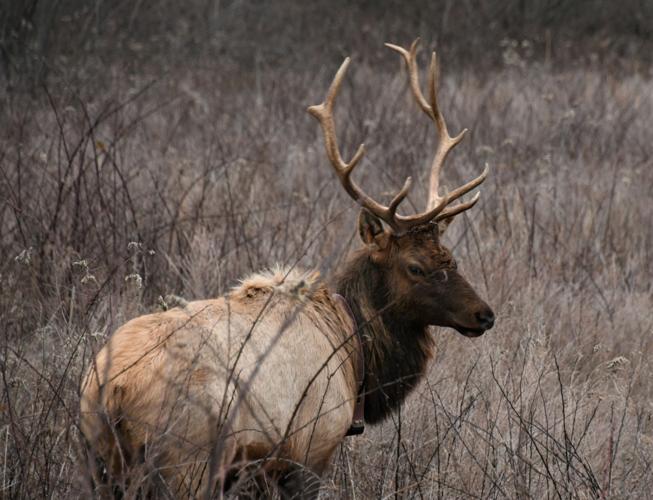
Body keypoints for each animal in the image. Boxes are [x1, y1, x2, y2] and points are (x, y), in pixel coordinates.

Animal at [79, 39, 495, 499]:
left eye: (451, 257)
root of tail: (114, 390)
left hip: (99, 462)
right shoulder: (311, 449)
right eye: (416, 267)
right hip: (187, 460)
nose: (484, 314)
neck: (355, 357)